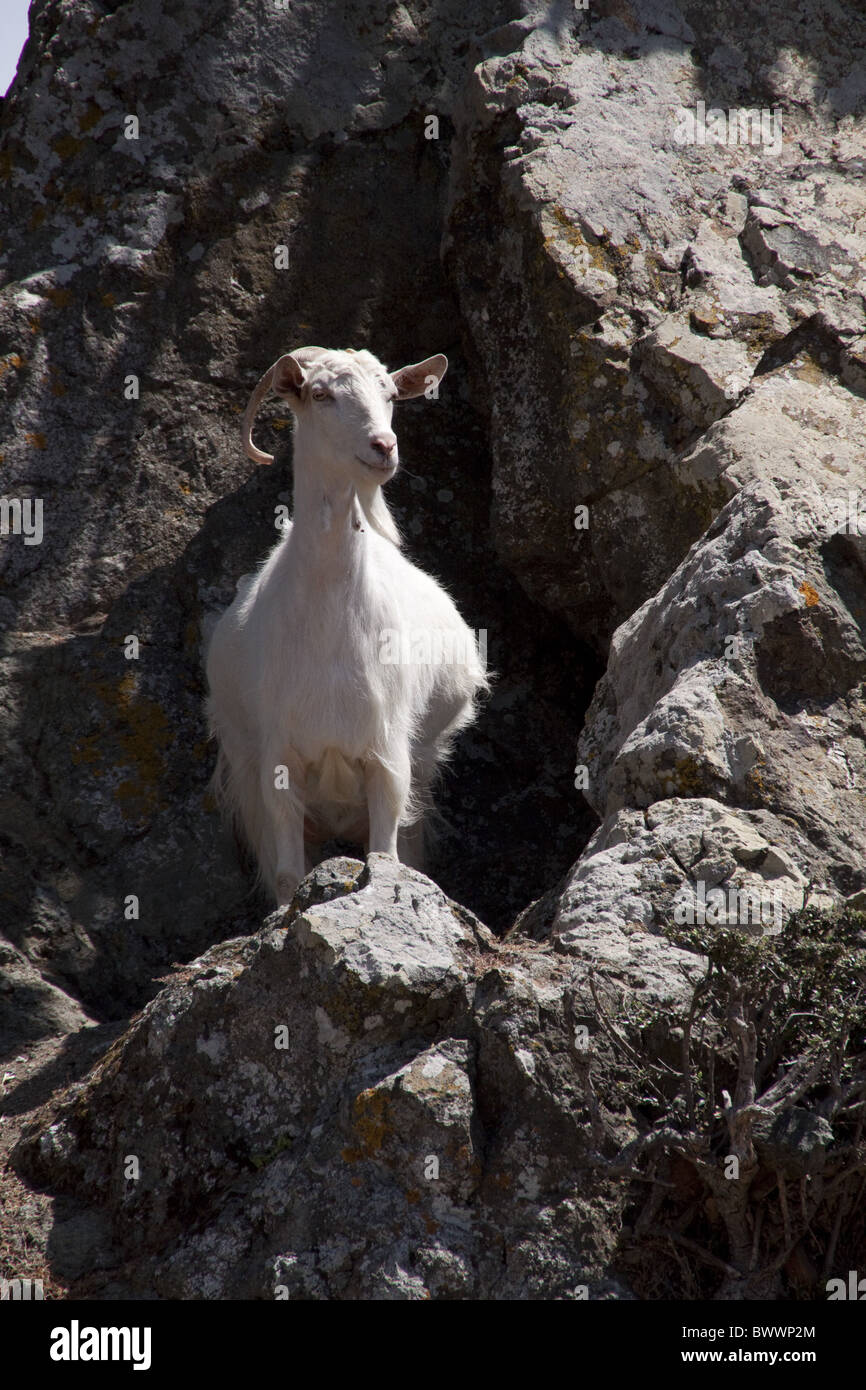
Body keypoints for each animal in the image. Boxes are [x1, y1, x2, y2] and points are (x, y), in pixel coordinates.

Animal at [205, 346, 489, 905]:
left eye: (389, 393)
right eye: (320, 394)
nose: (384, 446)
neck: (329, 628)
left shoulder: (388, 760)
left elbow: (387, 860)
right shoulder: (279, 768)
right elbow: (288, 876)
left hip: (420, 765)